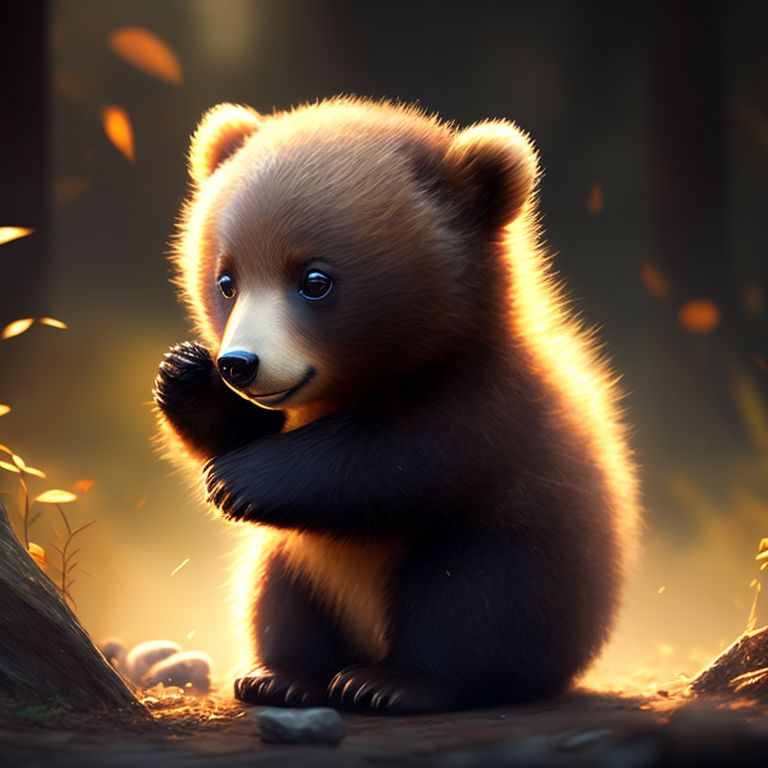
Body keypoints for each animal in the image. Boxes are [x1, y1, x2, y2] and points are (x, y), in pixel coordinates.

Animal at [153, 97, 640, 714]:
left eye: (315, 280)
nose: (239, 363)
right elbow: (244, 430)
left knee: (468, 603)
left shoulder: (491, 399)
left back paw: (390, 682)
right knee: (277, 592)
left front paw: (240, 478)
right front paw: (185, 375)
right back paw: (283, 676)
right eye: (226, 280)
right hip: (300, 566)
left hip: (519, 556)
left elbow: (400, 458)